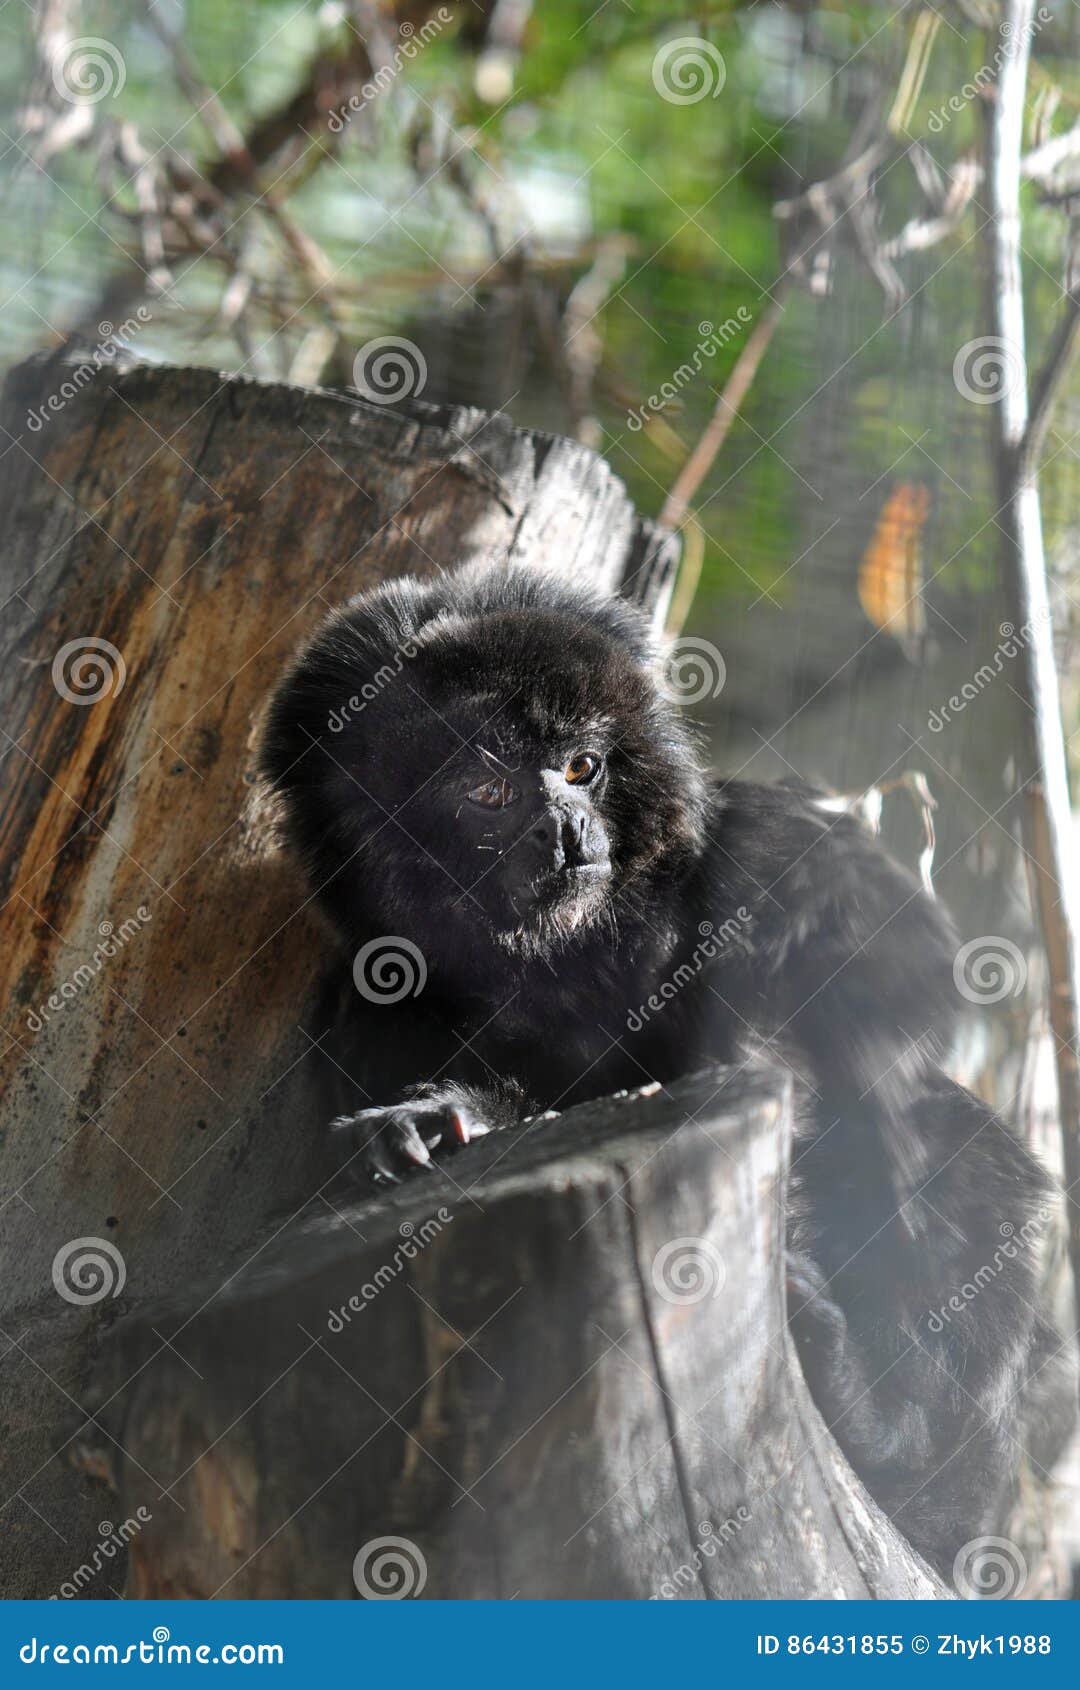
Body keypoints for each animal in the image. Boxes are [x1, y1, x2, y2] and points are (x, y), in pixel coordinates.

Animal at [261, 560, 1073, 1579]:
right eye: (487, 791)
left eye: (580, 768)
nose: (566, 828)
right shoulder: (362, 1001)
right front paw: (444, 1120)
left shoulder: (757, 840)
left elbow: (897, 977)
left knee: (956, 1151)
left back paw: (898, 1450)